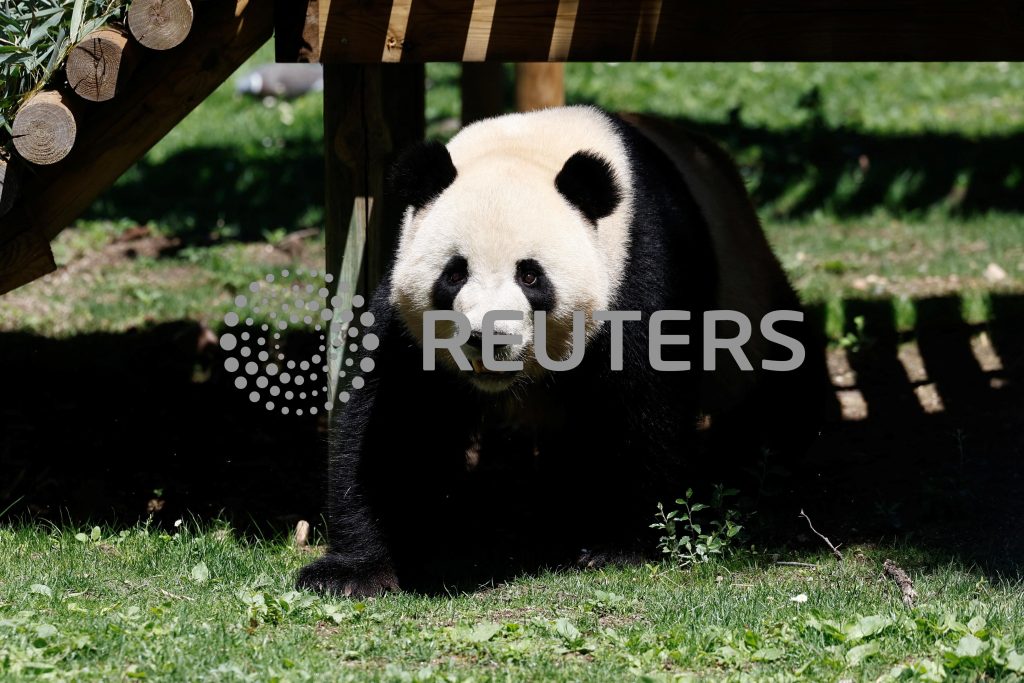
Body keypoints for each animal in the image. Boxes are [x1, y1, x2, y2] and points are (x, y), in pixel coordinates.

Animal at [297, 105, 826, 597]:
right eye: (454, 273)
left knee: (779, 376)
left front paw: (616, 545)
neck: (529, 147)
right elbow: (392, 427)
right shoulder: (408, 322)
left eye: (530, 275)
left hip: (747, 293)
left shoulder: (640, 266)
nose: (487, 338)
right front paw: (353, 572)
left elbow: (642, 407)